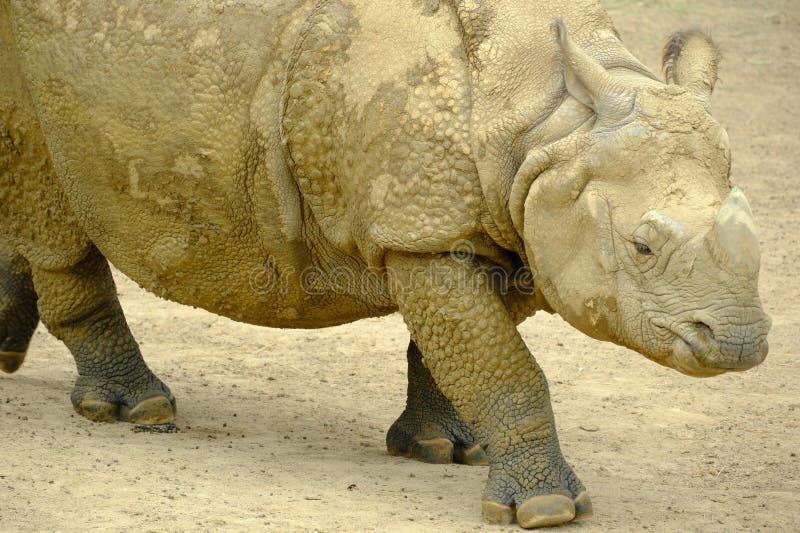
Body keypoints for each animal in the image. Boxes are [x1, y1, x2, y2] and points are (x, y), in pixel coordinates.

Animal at [0, 0, 771, 528]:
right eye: (642, 248)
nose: (737, 343)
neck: (545, 120)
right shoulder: (424, 227)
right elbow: (505, 367)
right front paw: (548, 508)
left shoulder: (506, 216)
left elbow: (459, 351)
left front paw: (441, 448)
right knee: (44, 188)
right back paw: (135, 409)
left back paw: (9, 356)